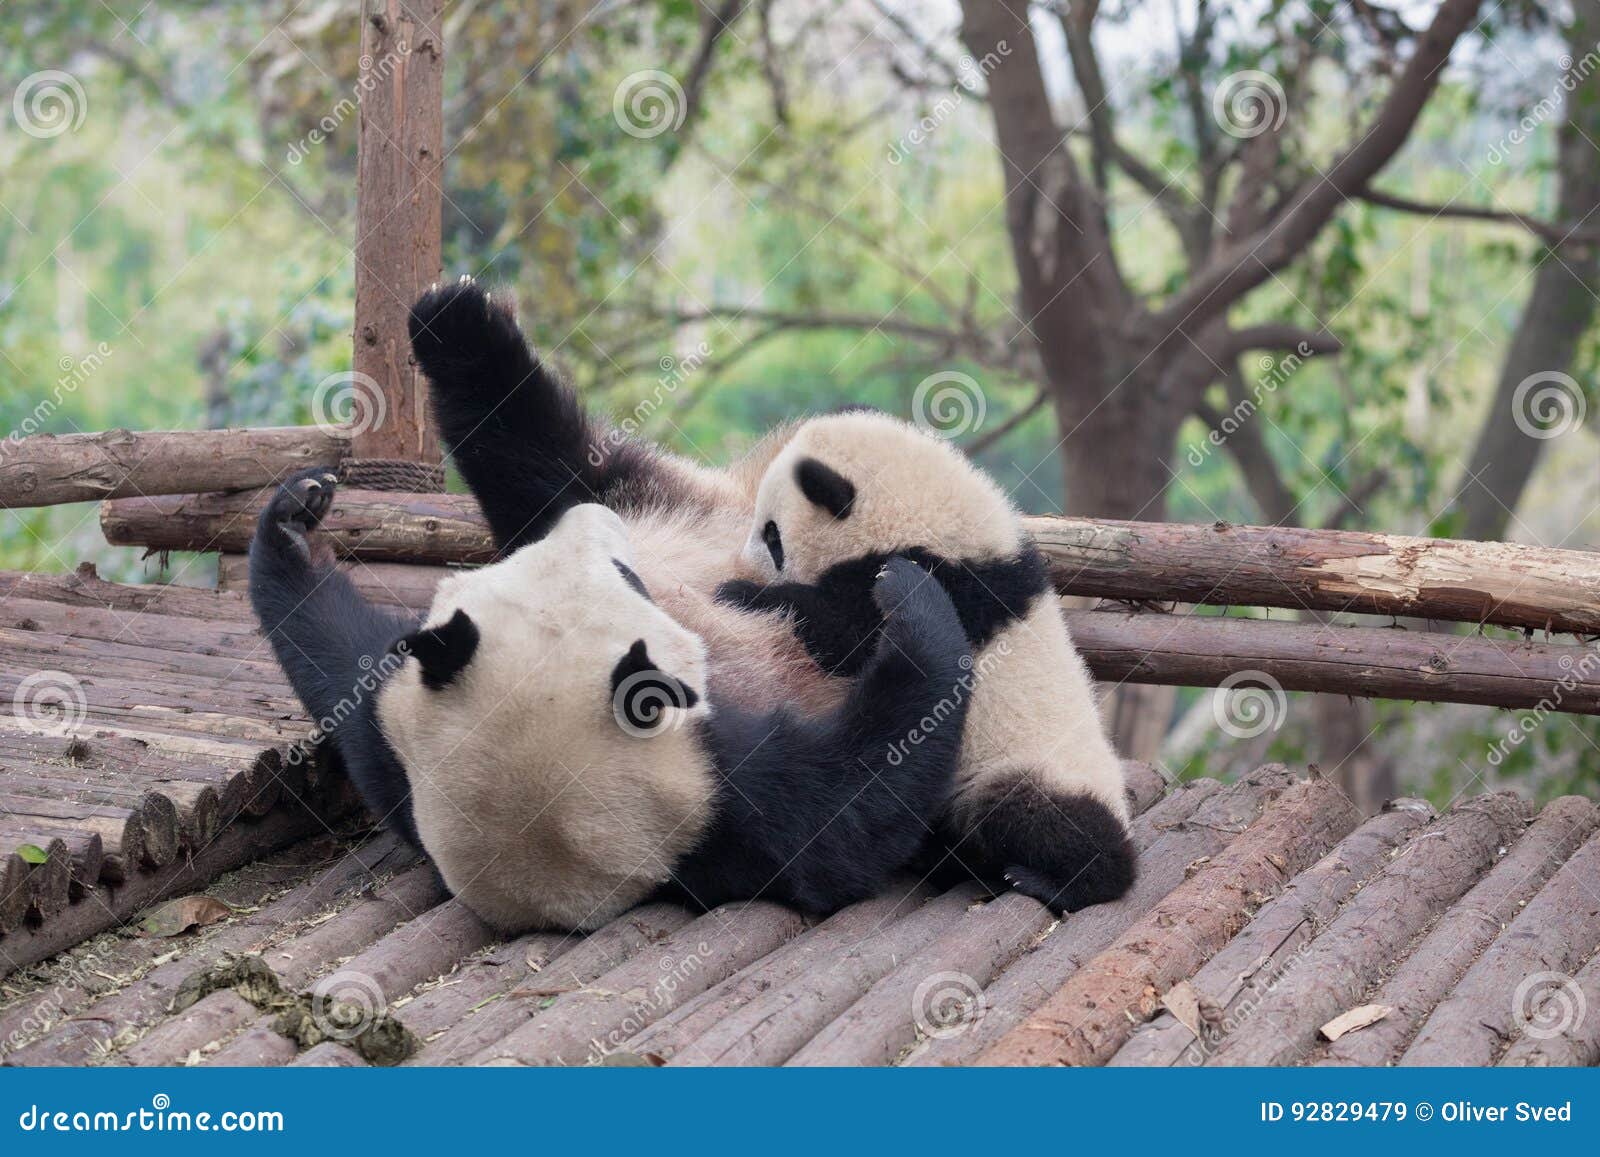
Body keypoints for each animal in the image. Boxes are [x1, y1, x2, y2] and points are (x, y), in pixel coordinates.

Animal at [248, 469, 976, 932]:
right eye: (626, 577)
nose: (592, 512)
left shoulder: (401, 746)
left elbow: (344, 665)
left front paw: (294, 519)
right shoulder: (720, 804)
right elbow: (853, 808)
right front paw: (912, 601)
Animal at [715, 410, 1135, 912]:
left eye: (772, 534)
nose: (742, 562)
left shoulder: (951, 584)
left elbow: (844, 634)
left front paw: (741, 592)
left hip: (1033, 768)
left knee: (1041, 816)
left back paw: (1059, 879)